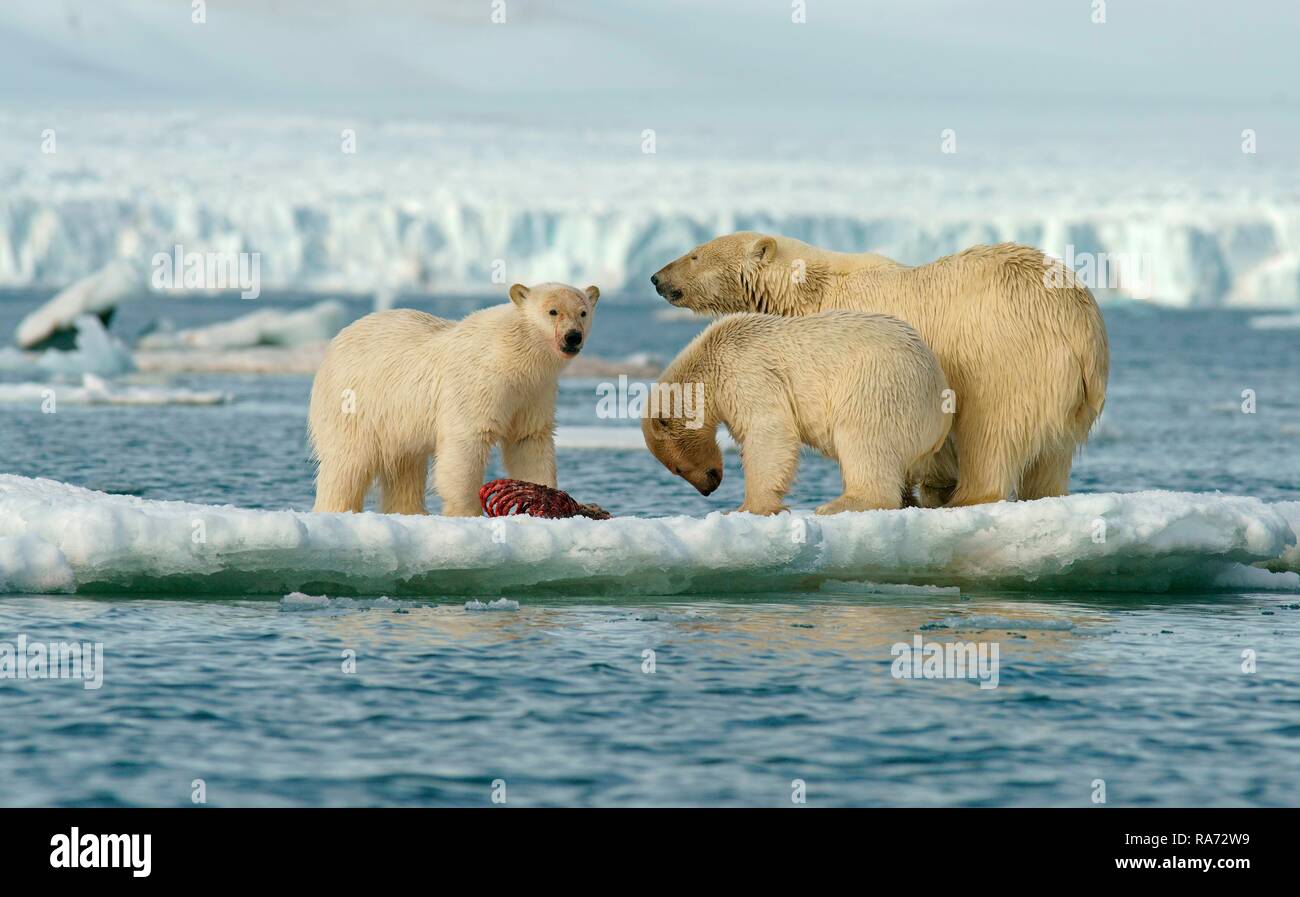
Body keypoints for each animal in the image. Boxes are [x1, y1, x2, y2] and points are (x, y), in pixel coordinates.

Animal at [307, 282, 599, 516]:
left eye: (583, 312)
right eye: (553, 311)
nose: (573, 337)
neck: (515, 357)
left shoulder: (534, 392)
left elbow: (528, 439)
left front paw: (543, 495)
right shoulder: (479, 383)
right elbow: (467, 442)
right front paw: (467, 512)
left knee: (405, 466)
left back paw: (411, 512)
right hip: (354, 403)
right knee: (347, 463)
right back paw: (336, 509)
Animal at [641, 310, 952, 515]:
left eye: (677, 468)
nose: (709, 488)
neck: (711, 356)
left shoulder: (746, 371)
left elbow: (769, 431)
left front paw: (746, 508)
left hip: (880, 386)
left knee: (864, 440)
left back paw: (838, 504)